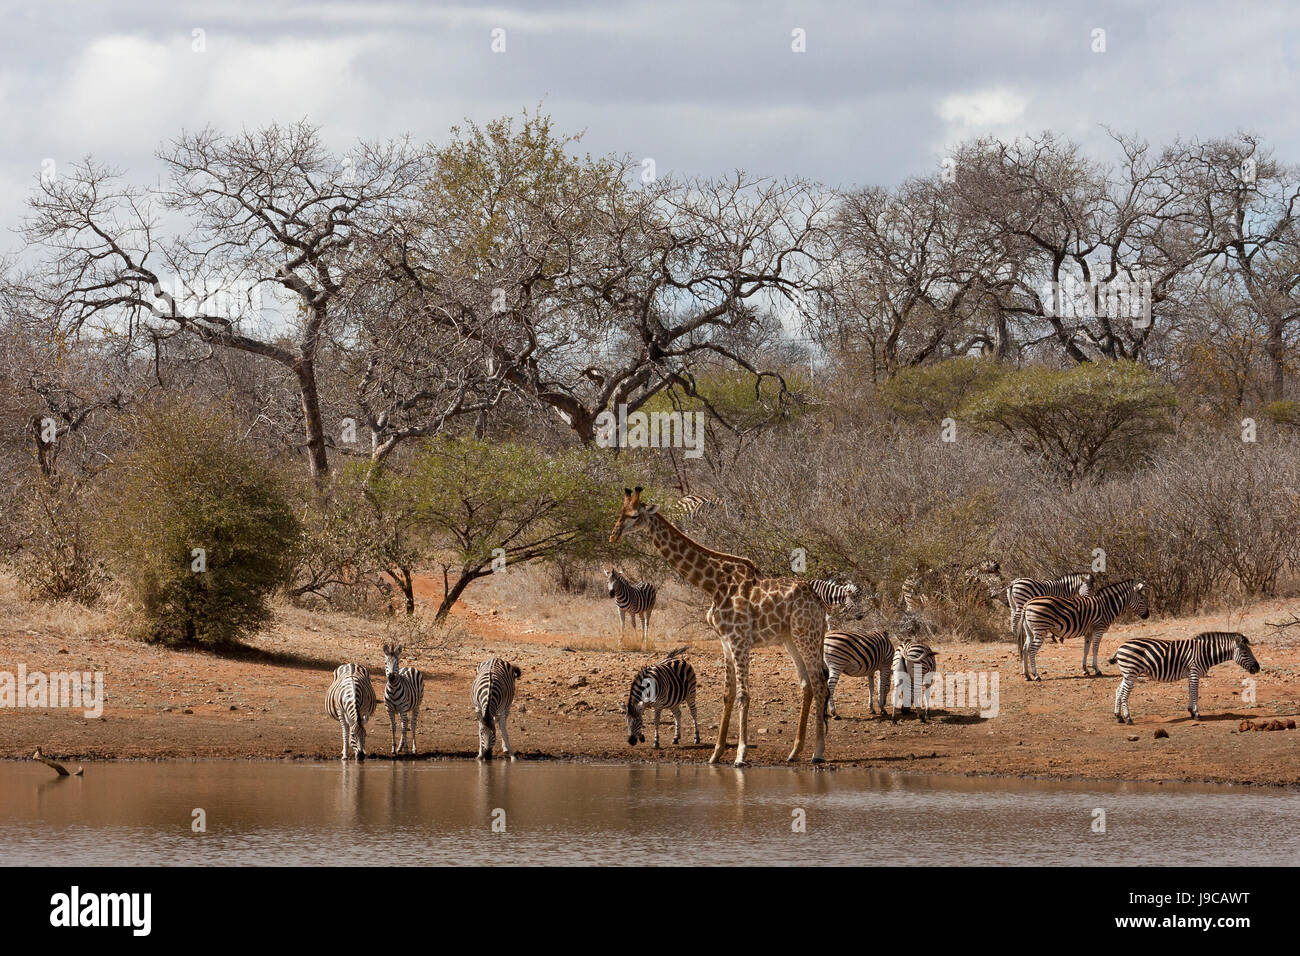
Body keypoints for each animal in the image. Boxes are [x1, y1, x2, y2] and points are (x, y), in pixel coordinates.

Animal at [608, 487, 828, 767]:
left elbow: (744, 694)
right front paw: (716, 753)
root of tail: (820, 604)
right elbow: (728, 694)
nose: (613, 535)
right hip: (791, 638)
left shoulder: (740, 640)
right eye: (621, 512)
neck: (713, 584)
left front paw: (740, 754)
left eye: (635, 515)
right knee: (806, 683)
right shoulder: (725, 641)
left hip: (806, 635)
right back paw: (794, 751)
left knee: (819, 681)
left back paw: (817, 752)